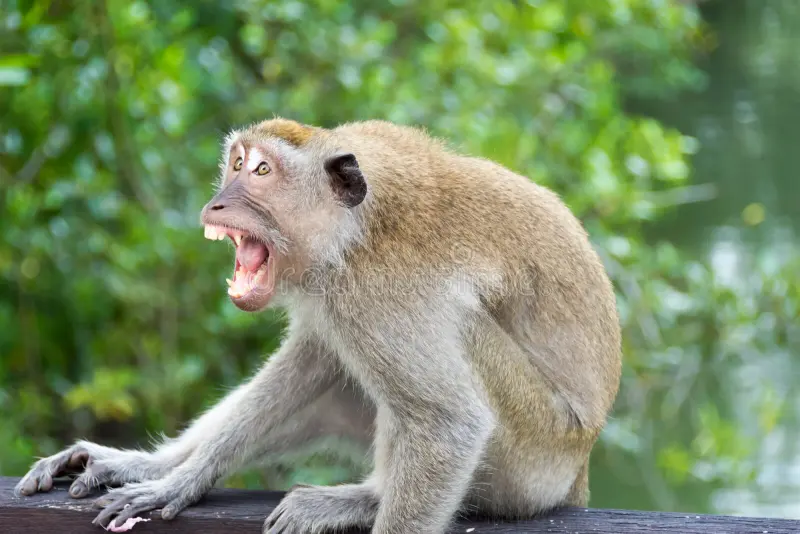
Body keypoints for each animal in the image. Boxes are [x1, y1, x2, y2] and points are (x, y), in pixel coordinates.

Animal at [15, 118, 622, 534]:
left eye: (263, 171)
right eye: (236, 163)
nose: (218, 203)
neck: (350, 230)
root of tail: (576, 471)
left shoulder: (376, 296)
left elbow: (449, 423)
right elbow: (309, 363)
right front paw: (178, 476)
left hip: (533, 455)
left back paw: (366, 497)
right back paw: (150, 464)